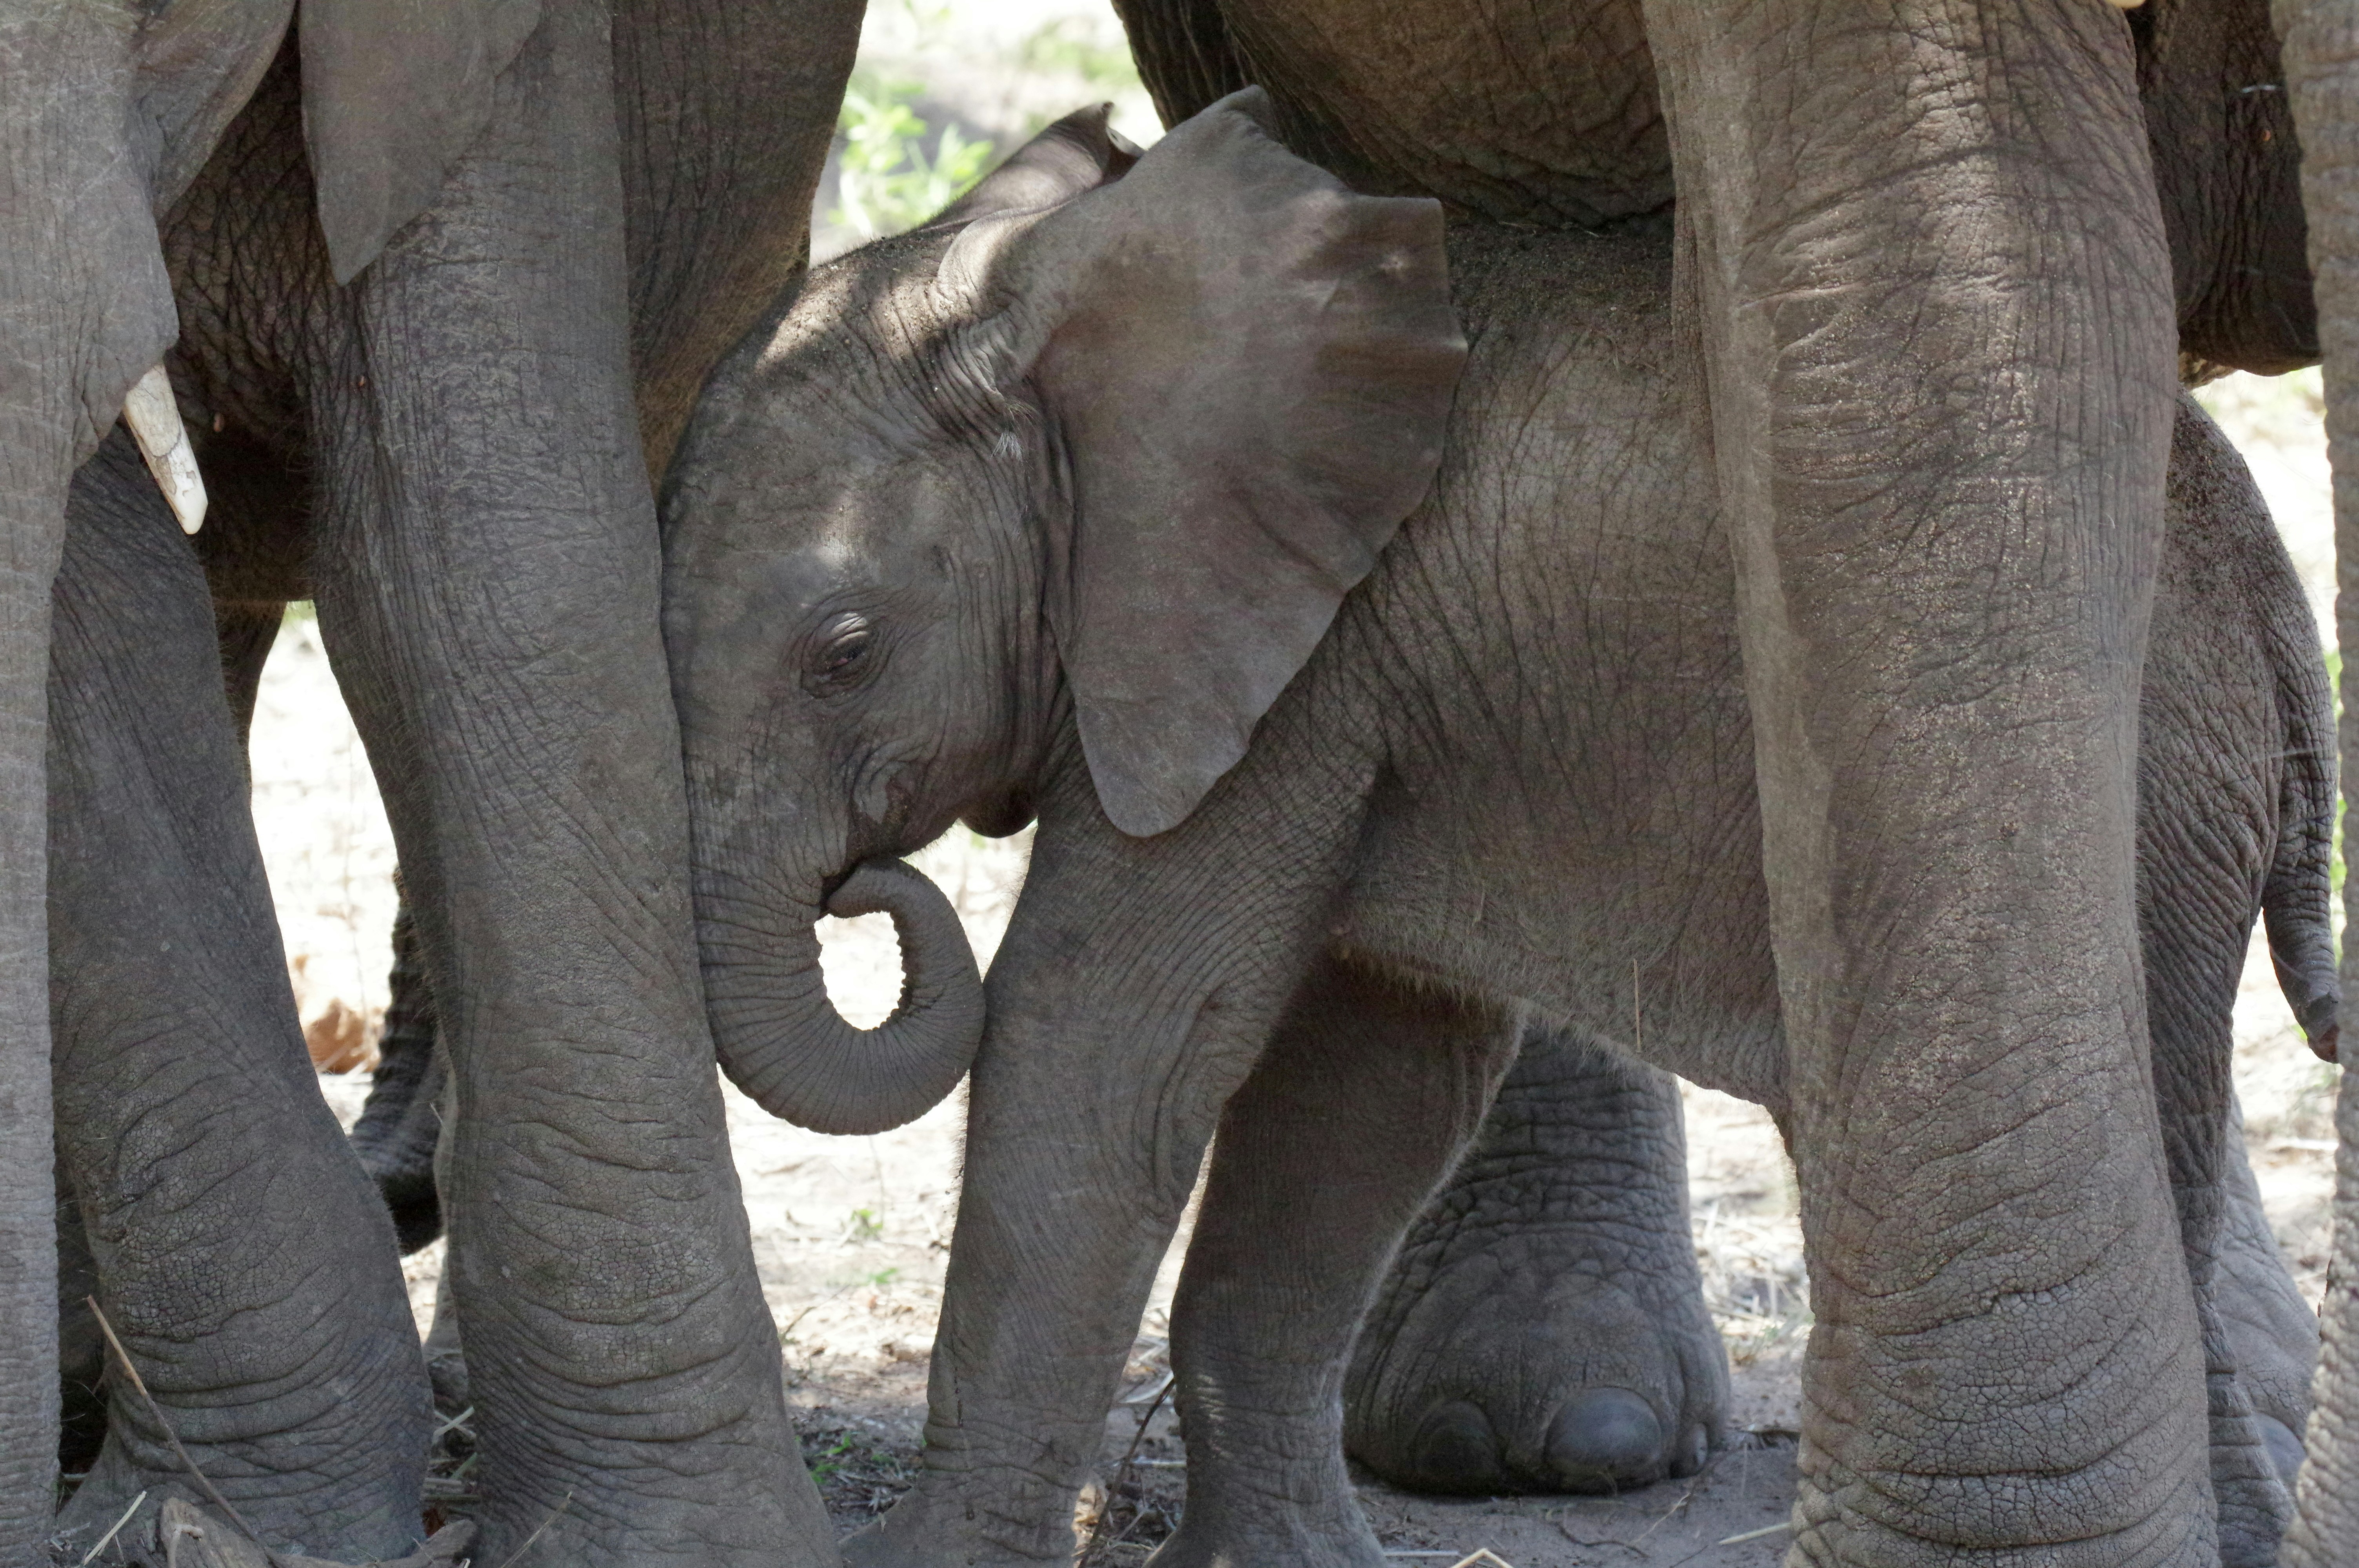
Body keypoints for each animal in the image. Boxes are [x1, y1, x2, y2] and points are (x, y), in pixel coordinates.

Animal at [657, 62, 2349, 1568]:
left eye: (844, 654)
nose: (864, 885)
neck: (1042, 291)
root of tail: (2277, 608)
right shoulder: (1380, 691)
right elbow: (1364, 1083)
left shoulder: (1306, 664)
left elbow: (1107, 1043)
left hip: (2142, 809)